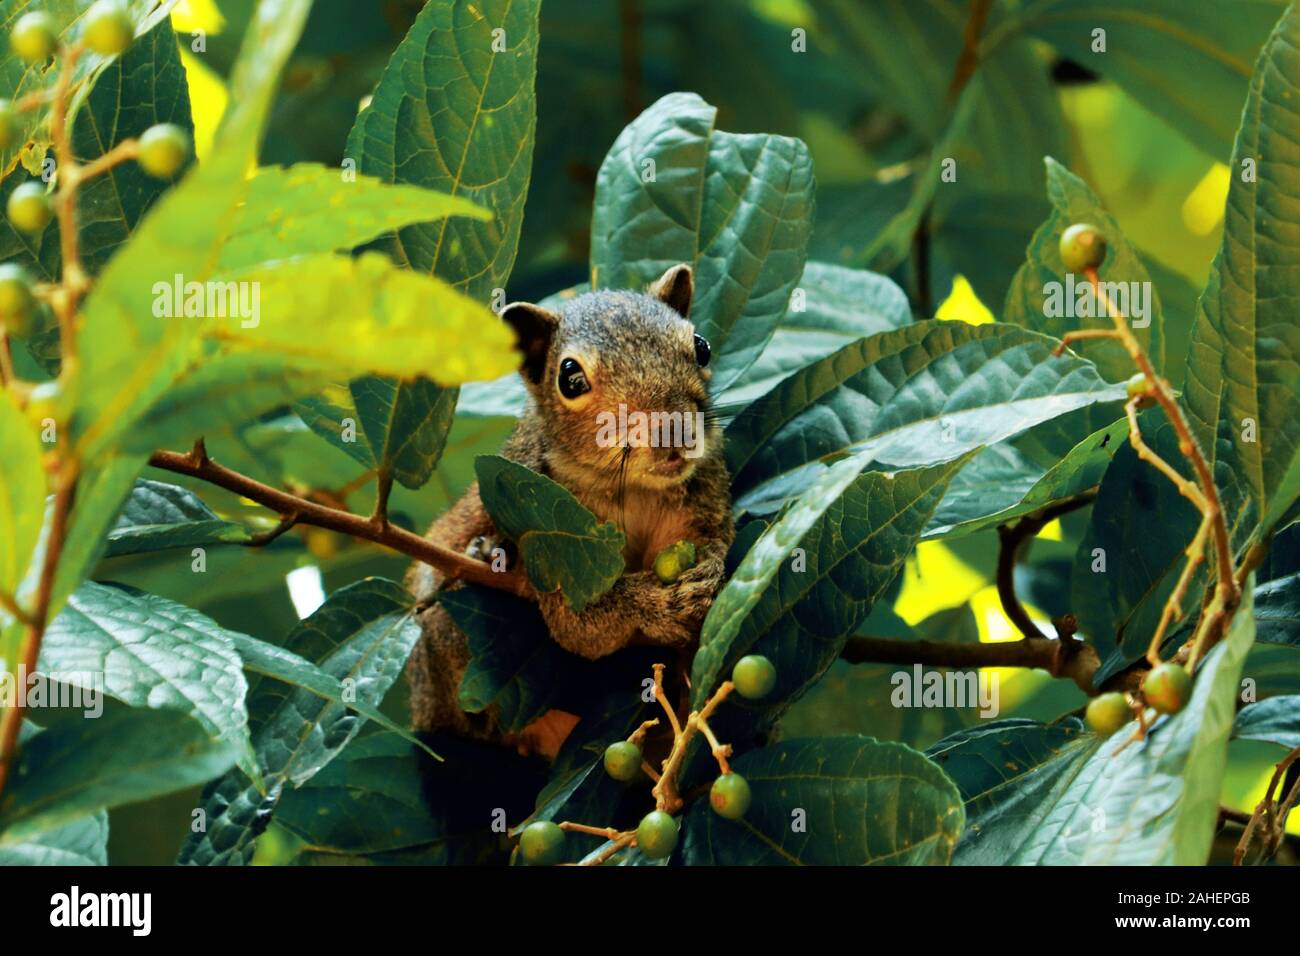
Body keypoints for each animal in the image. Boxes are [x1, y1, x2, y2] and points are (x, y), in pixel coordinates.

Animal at [405, 264, 734, 758]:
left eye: (701, 346)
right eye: (570, 379)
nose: (671, 429)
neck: (631, 490)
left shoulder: (704, 498)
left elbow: (713, 544)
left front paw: (709, 573)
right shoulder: (550, 550)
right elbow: (582, 623)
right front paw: (655, 604)